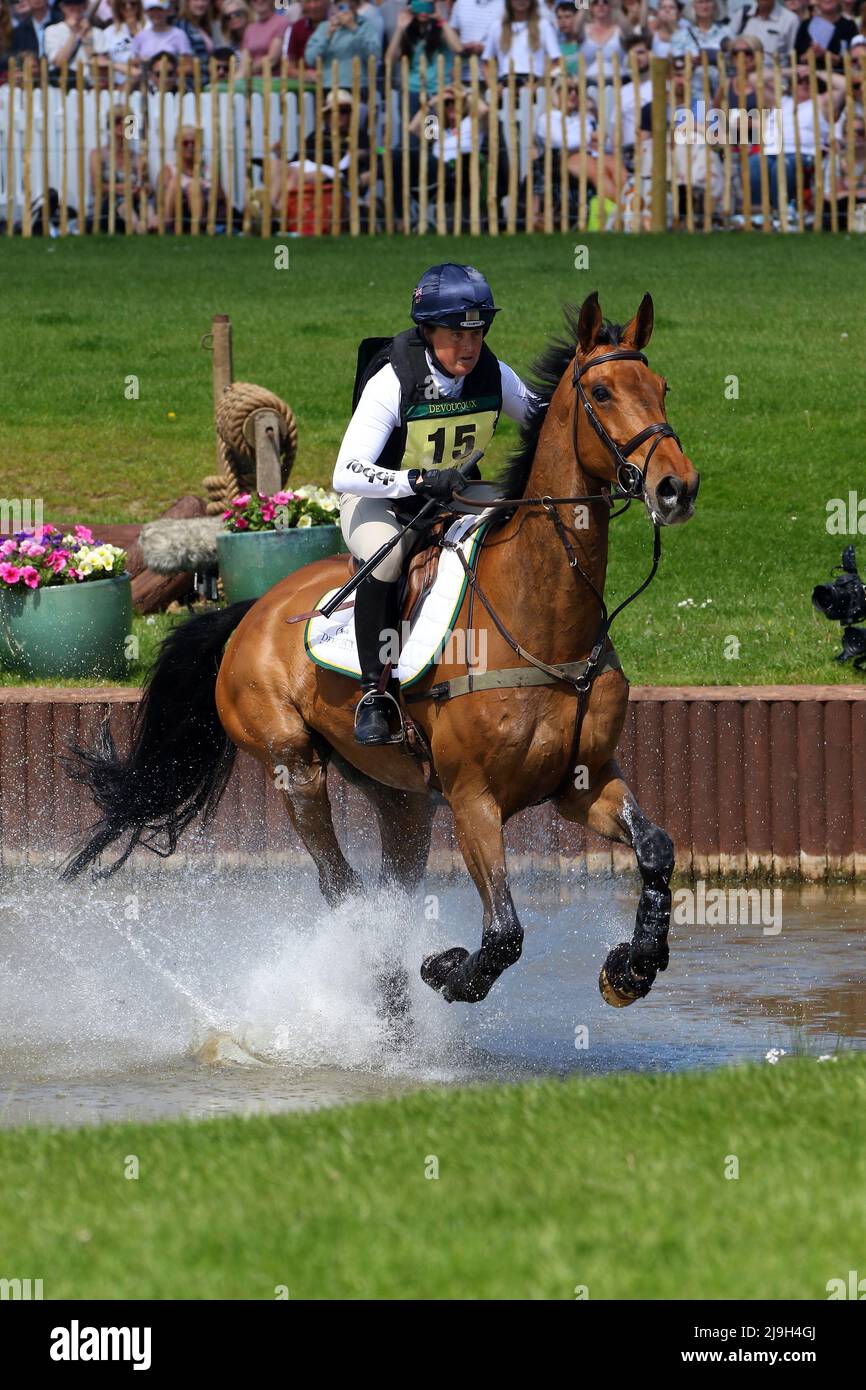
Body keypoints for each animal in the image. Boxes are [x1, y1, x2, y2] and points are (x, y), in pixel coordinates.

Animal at [62, 292, 700, 1010]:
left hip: (400, 795)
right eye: (602, 391)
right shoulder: (474, 800)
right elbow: (503, 933)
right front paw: (448, 970)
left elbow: (657, 849)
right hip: (296, 765)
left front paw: (631, 968)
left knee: (390, 888)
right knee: (344, 890)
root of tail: (249, 611)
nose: (677, 488)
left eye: (661, 387)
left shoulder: (581, 782)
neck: (543, 617)